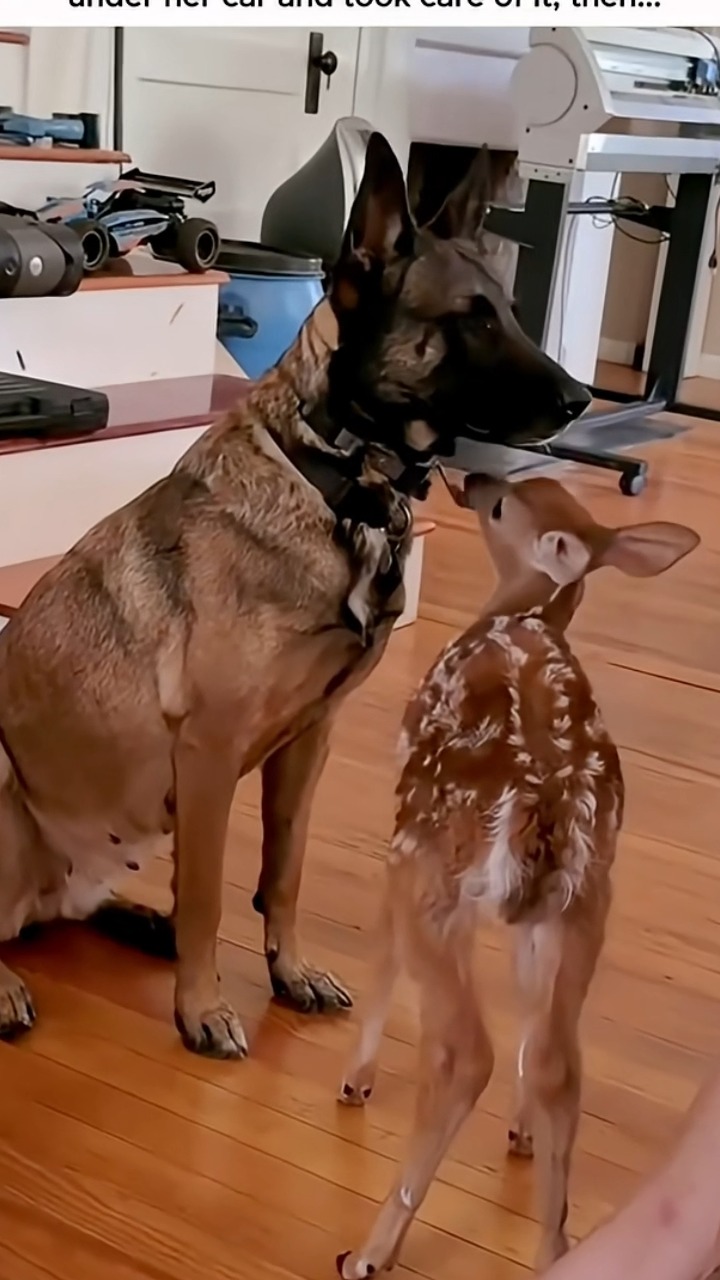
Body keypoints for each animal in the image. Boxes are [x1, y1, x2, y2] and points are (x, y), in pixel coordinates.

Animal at [336, 470, 699, 1275]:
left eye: (504, 507)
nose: (472, 478)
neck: (519, 614)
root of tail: (545, 812)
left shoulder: (401, 831)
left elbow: (380, 957)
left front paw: (357, 1075)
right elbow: (537, 1033)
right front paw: (523, 1131)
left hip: (433, 871)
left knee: (466, 1051)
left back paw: (370, 1249)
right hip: (584, 901)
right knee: (560, 1058)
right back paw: (552, 1242)